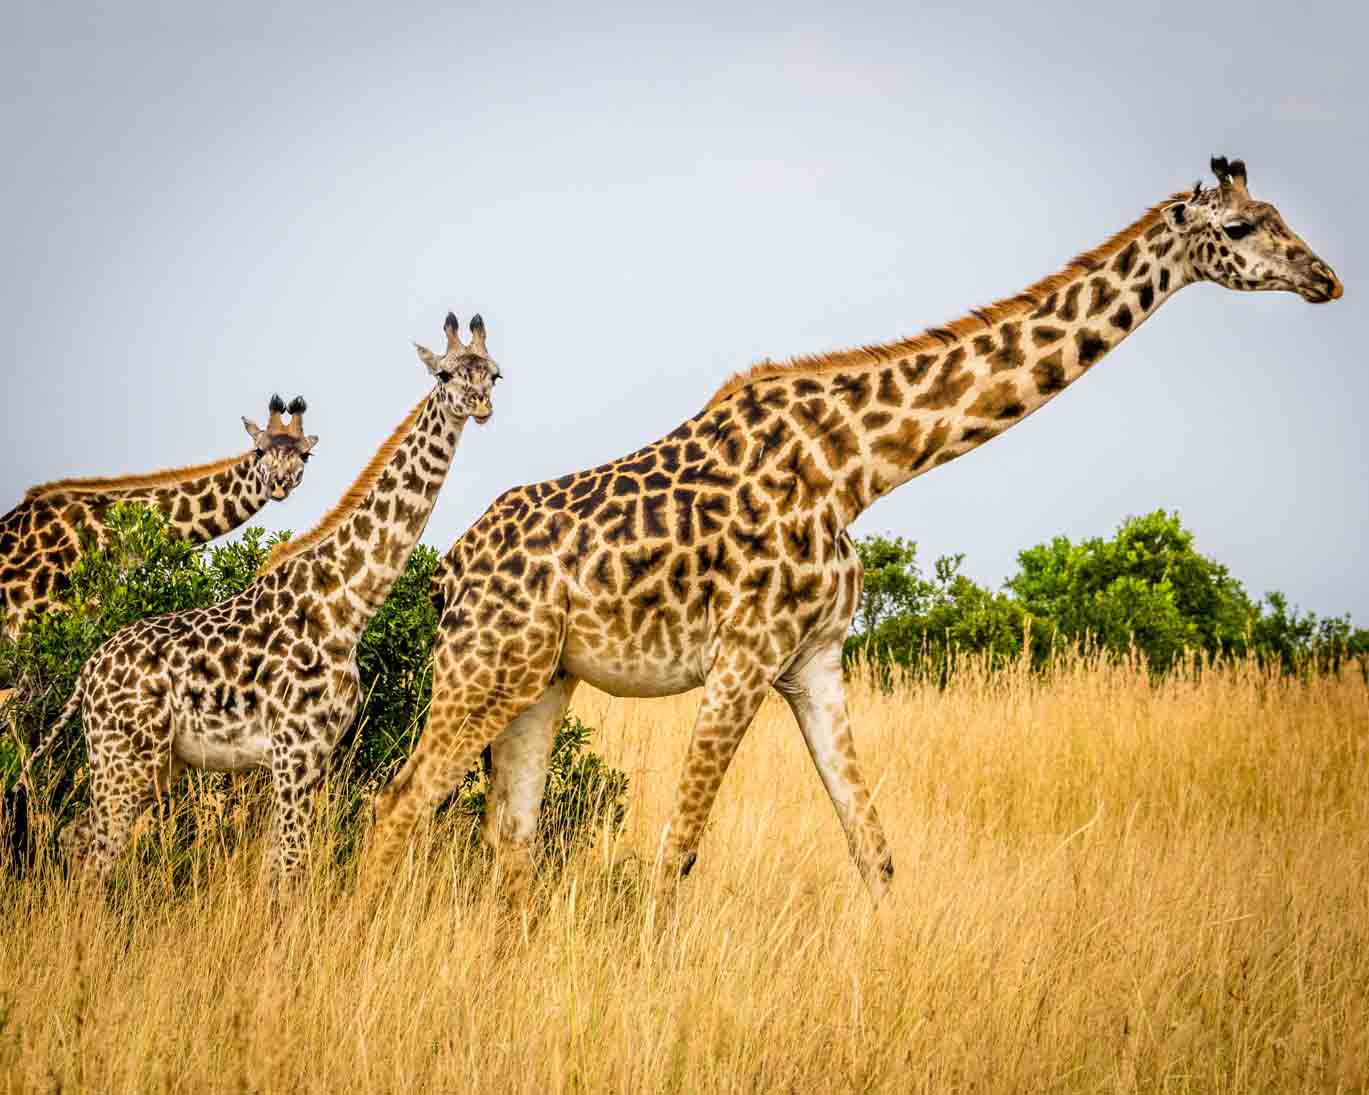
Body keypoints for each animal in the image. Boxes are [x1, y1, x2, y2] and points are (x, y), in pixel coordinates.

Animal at [361, 156, 1341, 907]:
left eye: (1279, 215)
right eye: (1244, 227)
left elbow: (873, 849)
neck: (858, 468)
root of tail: (447, 572)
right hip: (481, 670)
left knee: (510, 830)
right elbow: (676, 849)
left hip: (542, 679)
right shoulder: (744, 656)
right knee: (397, 805)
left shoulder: (816, 660)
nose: (1324, 278)